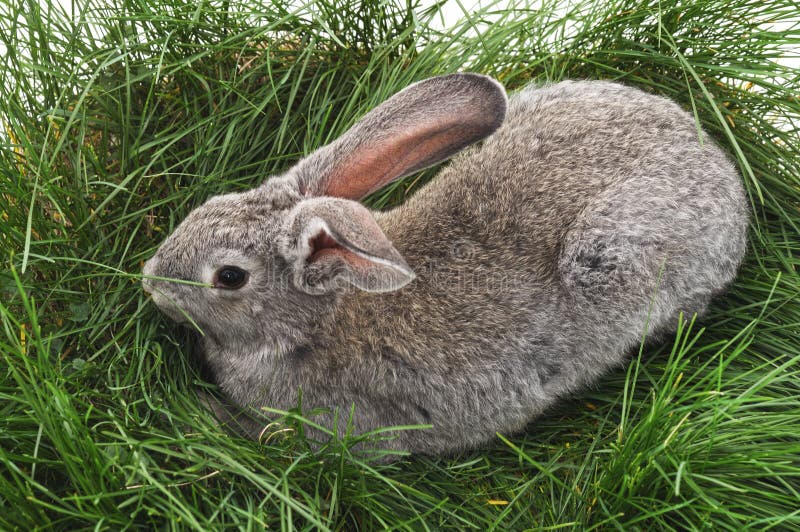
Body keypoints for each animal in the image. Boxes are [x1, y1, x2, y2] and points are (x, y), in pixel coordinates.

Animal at [142, 73, 748, 457]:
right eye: (207, 206)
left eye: (229, 277)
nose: (150, 283)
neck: (312, 322)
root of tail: (722, 171)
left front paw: (210, 412)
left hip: (610, 251)